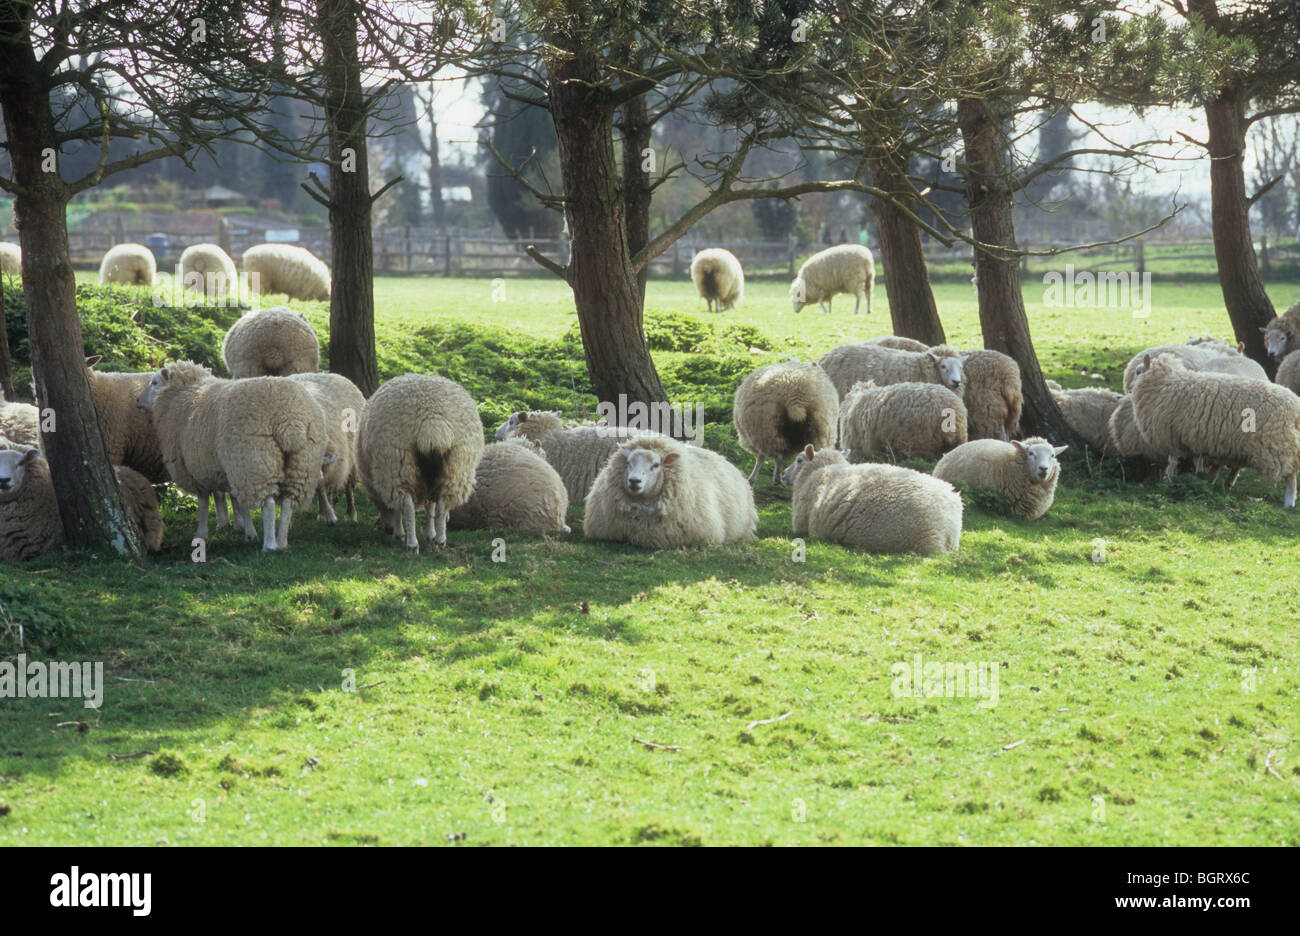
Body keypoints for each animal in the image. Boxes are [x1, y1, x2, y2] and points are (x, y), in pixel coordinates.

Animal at [137, 361, 327, 550]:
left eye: (154, 382)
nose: (138, 401)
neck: (183, 393)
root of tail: (290, 420)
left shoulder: (194, 470)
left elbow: (204, 504)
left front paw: (201, 535)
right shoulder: (228, 469)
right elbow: (237, 501)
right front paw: (246, 530)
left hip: (254, 458)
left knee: (269, 504)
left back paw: (270, 545)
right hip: (302, 462)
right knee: (288, 502)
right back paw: (282, 542)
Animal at [356, 373, 484, 552]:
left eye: (377, 505)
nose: (387, 530)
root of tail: (432, 420)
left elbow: (397, 509)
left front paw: (398, 533)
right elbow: (431, 507)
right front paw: (431, 534)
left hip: (397, 464)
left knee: (407, 506)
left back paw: (412, 544)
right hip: (456, 466)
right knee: (442, 503)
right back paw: (440, 539)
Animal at [1131, 353, 1300, 505]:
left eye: (1138, 371)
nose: (1130, 387)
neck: (1166, 382)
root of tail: (1296, 407)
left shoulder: (1172, 436)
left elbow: (1172, 461)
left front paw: (1167, 480)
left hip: (1279, 446)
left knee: (1291, 474)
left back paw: (1289, 502)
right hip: (1243, 446)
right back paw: (1220, 484)